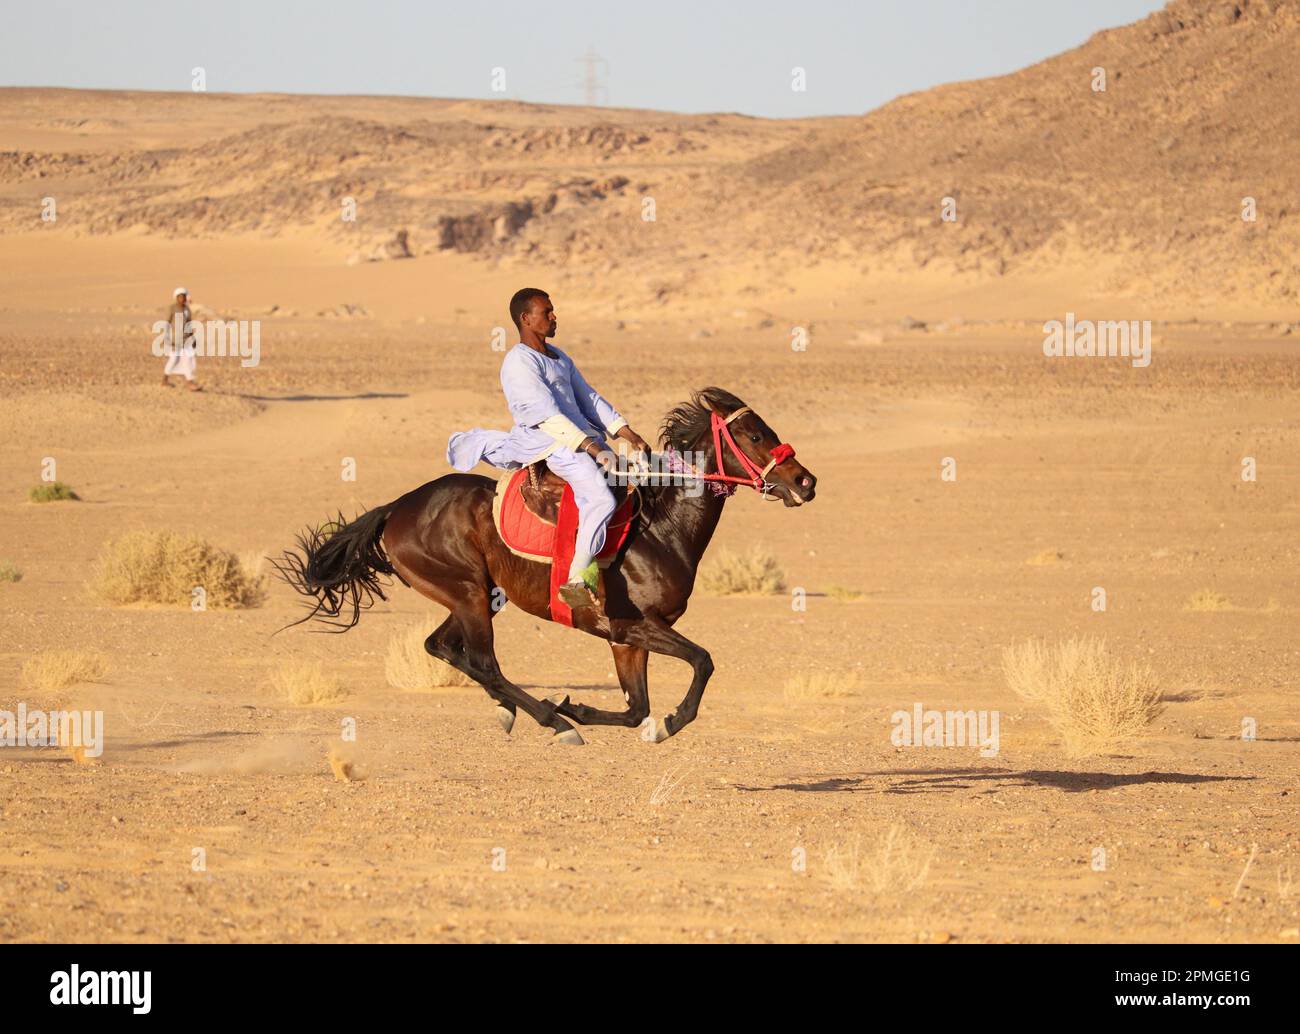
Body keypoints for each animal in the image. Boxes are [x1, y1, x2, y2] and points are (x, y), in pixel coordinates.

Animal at [272, 386, 817, 744]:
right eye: (753, 434)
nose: (805, 481)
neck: (661, 529)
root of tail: (396, 508)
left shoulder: (624, 639)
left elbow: (636, 707)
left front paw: (585, 706)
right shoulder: (634, 625)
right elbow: (702, 662)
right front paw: (664, 723)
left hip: (475, 596)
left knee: (441, 647)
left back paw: (520, 711)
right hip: (469, 594)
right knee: (485, 664)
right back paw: (550, 721)